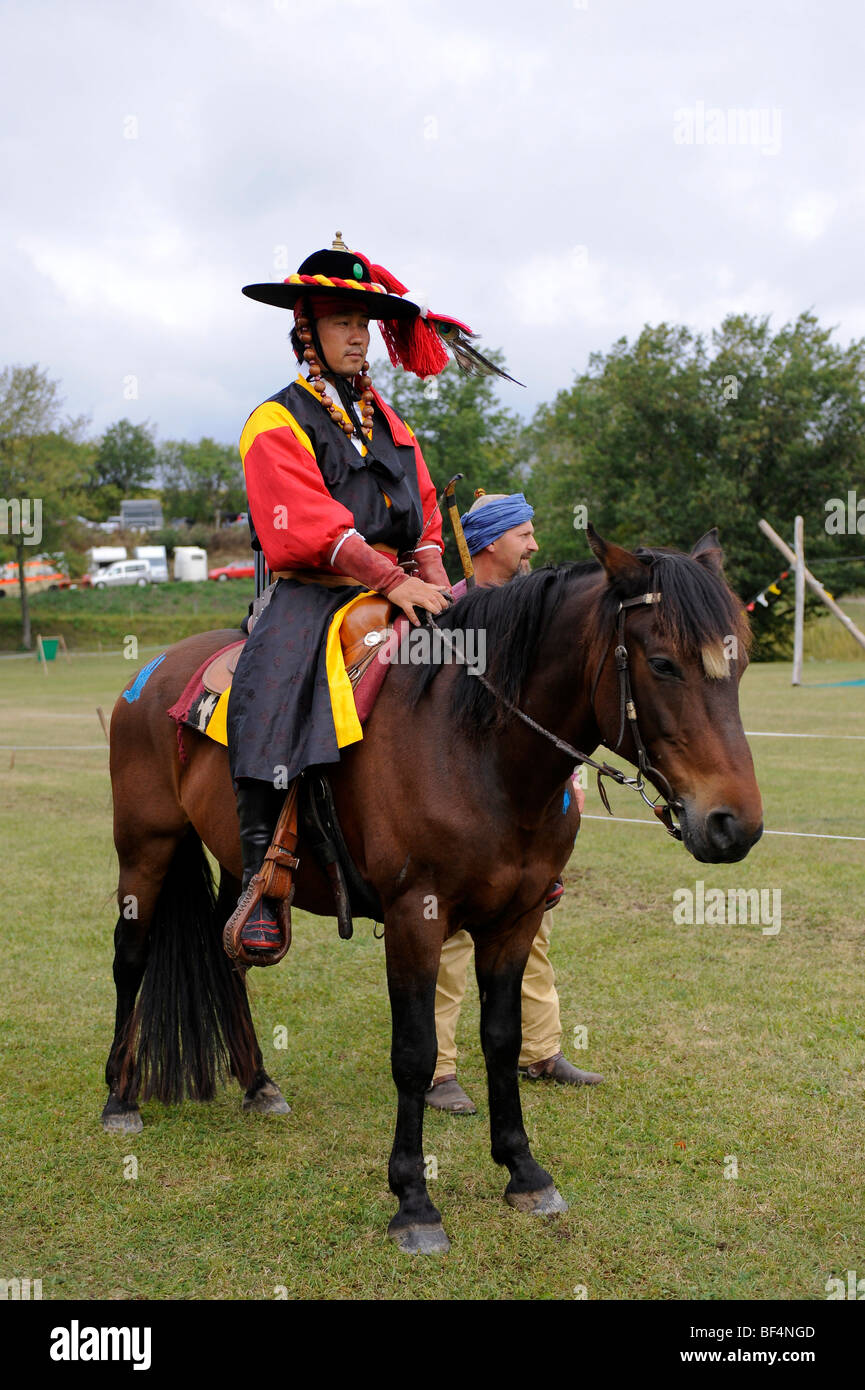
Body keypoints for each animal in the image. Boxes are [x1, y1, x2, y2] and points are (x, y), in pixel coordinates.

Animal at [101, 526, 763, 1254]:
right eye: (663, 663)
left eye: (741, 664)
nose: (734, 824)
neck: (478, 748)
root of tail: (153, 674)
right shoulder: (415, 917)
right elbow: (415, 1055)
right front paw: (414, 1200)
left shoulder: (516, 918)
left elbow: (502, 1038)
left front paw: (523, 1170)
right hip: (145, 849)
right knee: (130, 959)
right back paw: (120, 1098)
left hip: (232, 870)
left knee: (231, 957)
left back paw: (258, 1084)